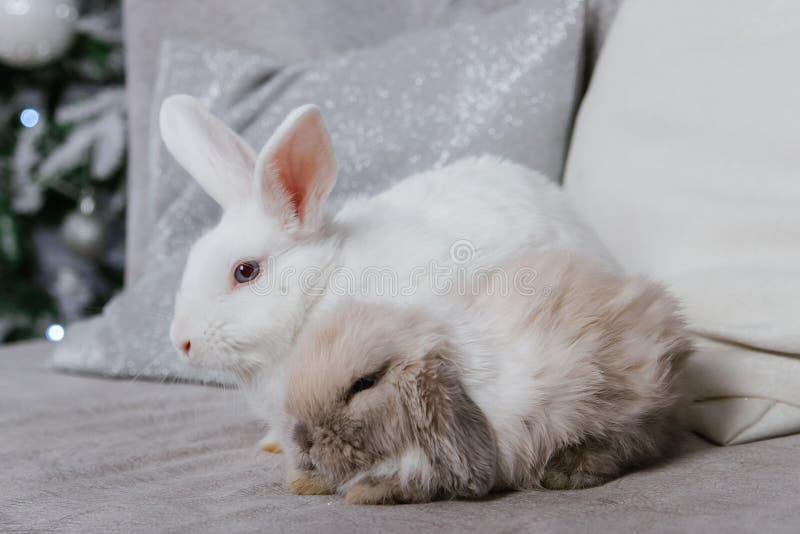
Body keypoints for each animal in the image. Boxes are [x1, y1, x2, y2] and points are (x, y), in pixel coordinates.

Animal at [284, 251, 691, 504]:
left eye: (364, 383)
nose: (303, 440)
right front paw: (304, 482)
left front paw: (364, 493)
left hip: (616, 404)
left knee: (628, 445)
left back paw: (561, 474)